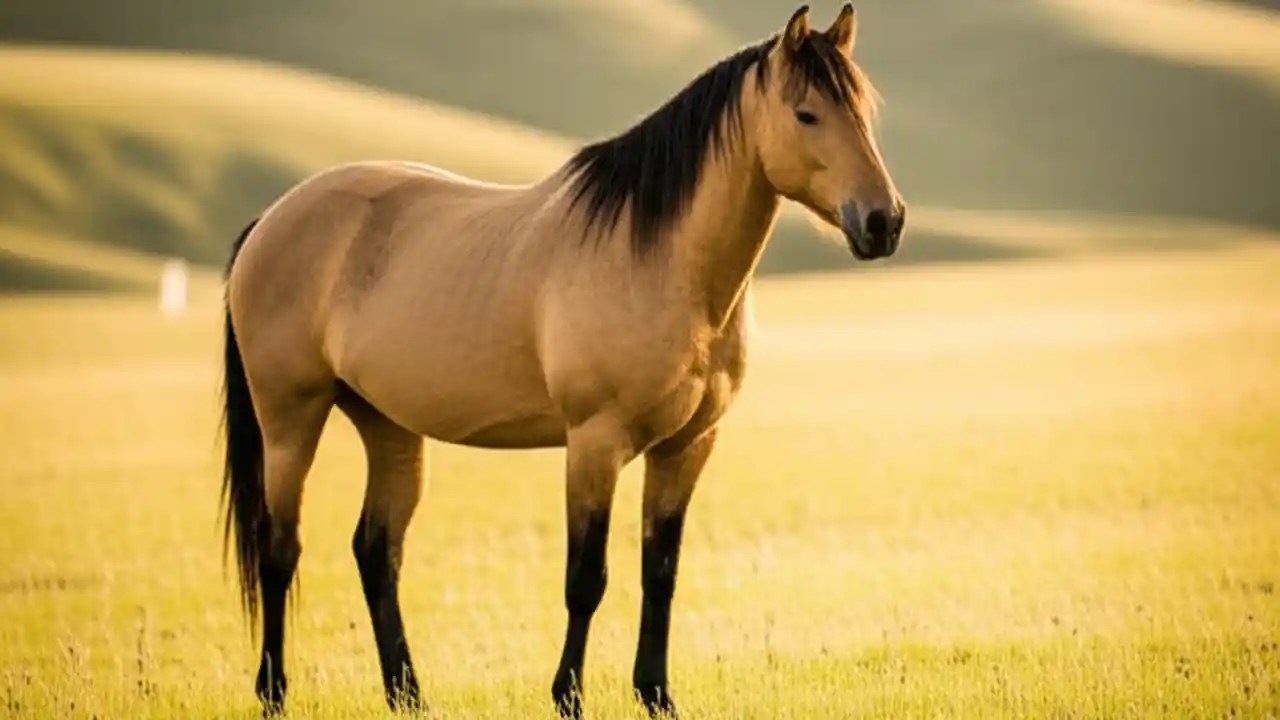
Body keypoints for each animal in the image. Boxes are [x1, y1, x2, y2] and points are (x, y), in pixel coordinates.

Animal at [220, 4, 904, 716]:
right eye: (807, 114)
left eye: (863, 111)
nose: (883, 222)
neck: (657, 260)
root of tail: (271, 219)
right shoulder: (594, 443)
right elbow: (587, 578)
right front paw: (568, 695)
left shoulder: (686, 446)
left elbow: (660, 572)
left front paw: (656, 693)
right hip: (290, 421)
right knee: (279, 551)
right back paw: (274, 691)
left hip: (389, 426)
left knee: (377, 550)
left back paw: (408, 696)